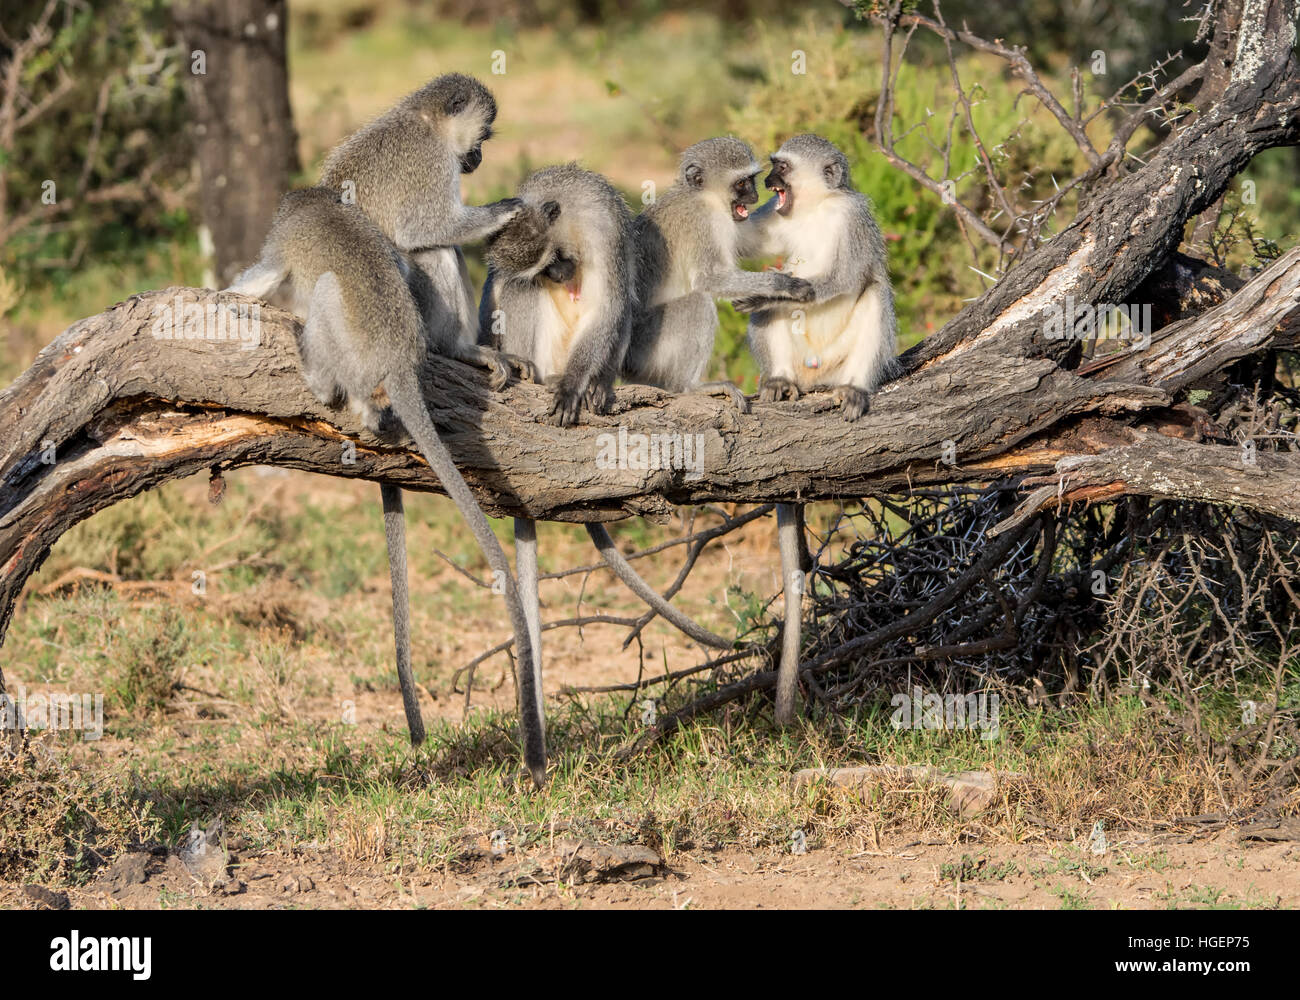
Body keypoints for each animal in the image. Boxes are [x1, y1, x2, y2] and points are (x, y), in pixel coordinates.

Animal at [225, 187, 548, 789]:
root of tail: (398, 358)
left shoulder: (282, 243)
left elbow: (264, 274)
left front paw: (228, 295)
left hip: (346, 352)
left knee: (327, 297)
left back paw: (319, 379)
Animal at [734, 133, 898, 725]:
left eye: (781, 168)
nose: (765, 182)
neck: (815, 208)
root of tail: (817, 377)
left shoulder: (855, 220)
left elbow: (845, 278)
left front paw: (777, 290)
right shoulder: (774, 223)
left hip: (844, 360)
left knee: (873, 289)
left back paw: (854, 390)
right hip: (797, 362)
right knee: (771, 325)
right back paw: (780, 383)